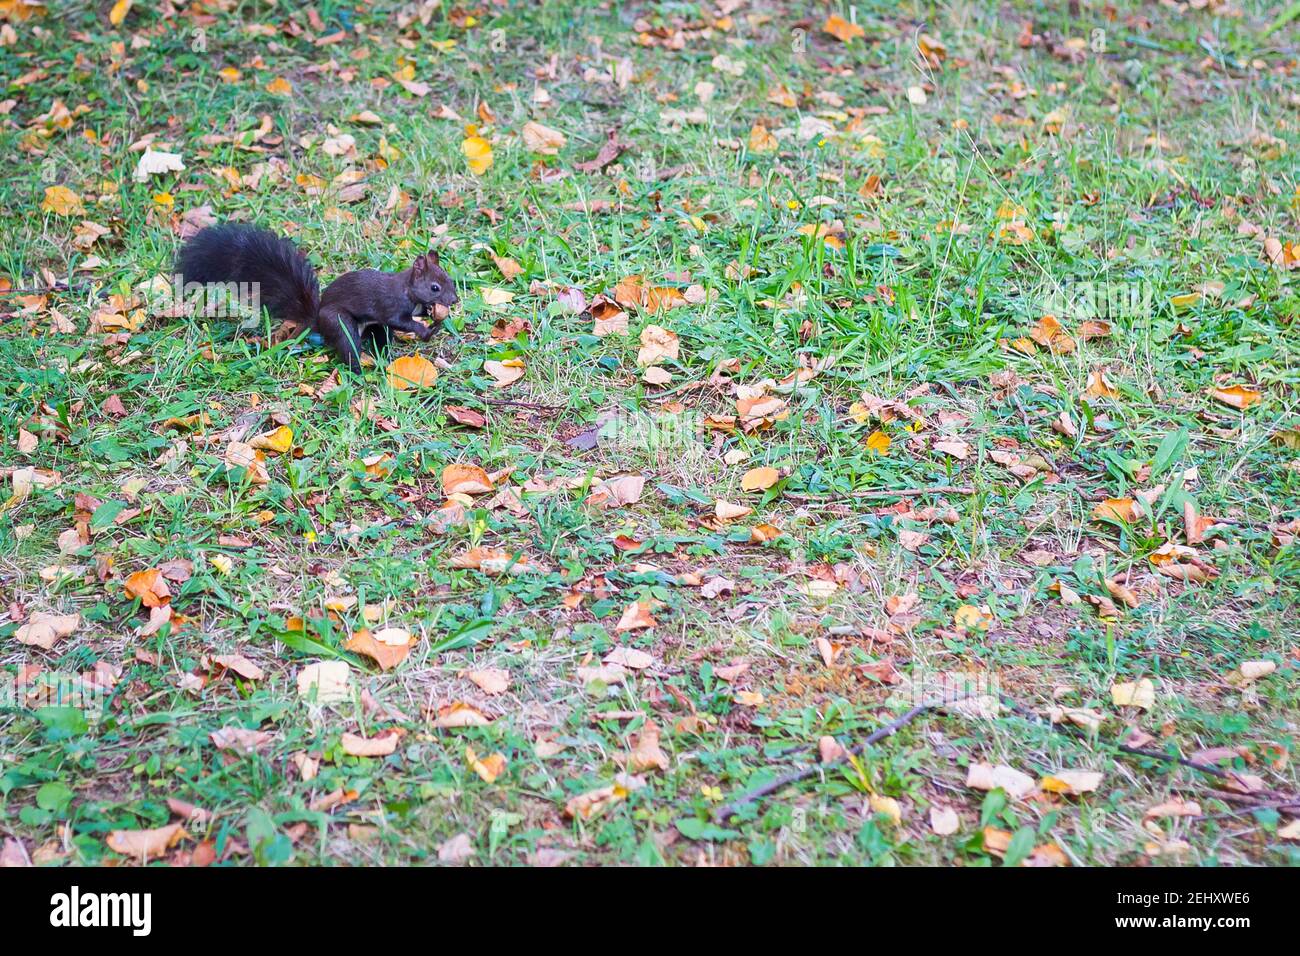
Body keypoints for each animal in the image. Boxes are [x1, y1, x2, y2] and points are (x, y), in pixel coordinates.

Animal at [175, 223, 458, 372]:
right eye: (435, 287)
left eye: (450, 280)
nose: (454, 300)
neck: (407, 289)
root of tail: (316, 319)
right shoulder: (390, 304)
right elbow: (400, 320)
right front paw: (424, 330)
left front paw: (432, 316)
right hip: (340, 322)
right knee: (348, 345)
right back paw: (360, 370)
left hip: (374, 328)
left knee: (380, 337)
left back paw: (381, 358)